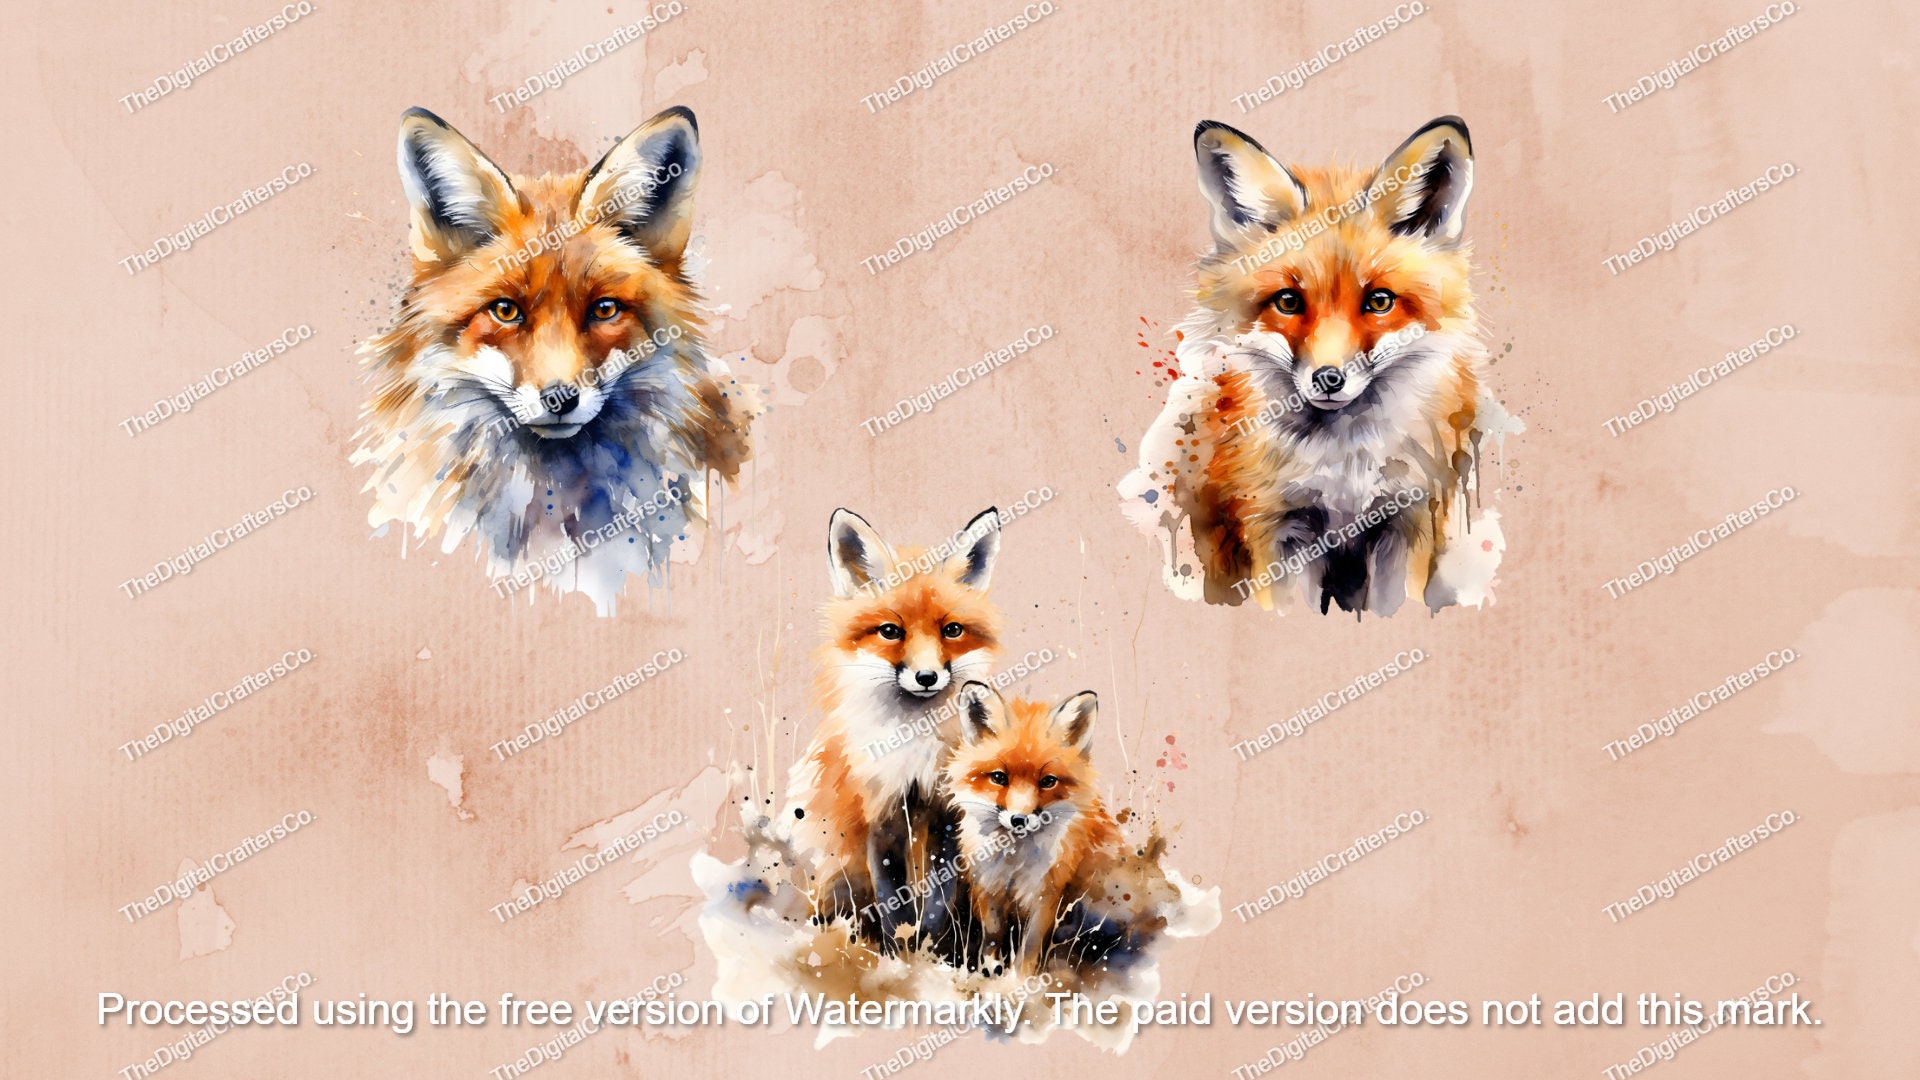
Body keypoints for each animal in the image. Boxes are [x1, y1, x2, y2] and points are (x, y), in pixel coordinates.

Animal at [786, 507, 1004, 955]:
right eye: (890, 631)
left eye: (951, 630)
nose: (926, 677)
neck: (914, 746)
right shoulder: (879, 814)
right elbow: (892, 897)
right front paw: (898, 953)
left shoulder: (946, 815)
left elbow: (939, 897)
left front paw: (933, 952)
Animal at [944, 683, 1123, 976]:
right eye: (999, 777)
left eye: (1048, 781)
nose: (1019, 819)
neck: (1014, 864)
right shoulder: (988, 887)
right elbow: (992, 935)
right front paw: (990, 970)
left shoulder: (1046, 894)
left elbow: (1029, 945)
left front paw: (1019, 980)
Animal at [1120, 116, 1500, 616]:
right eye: (1288, 302)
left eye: (1380, 301)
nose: (1328, 378)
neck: (1343, 468)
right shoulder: (1273, 526)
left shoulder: (1408, 520)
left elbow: (1399, 603)